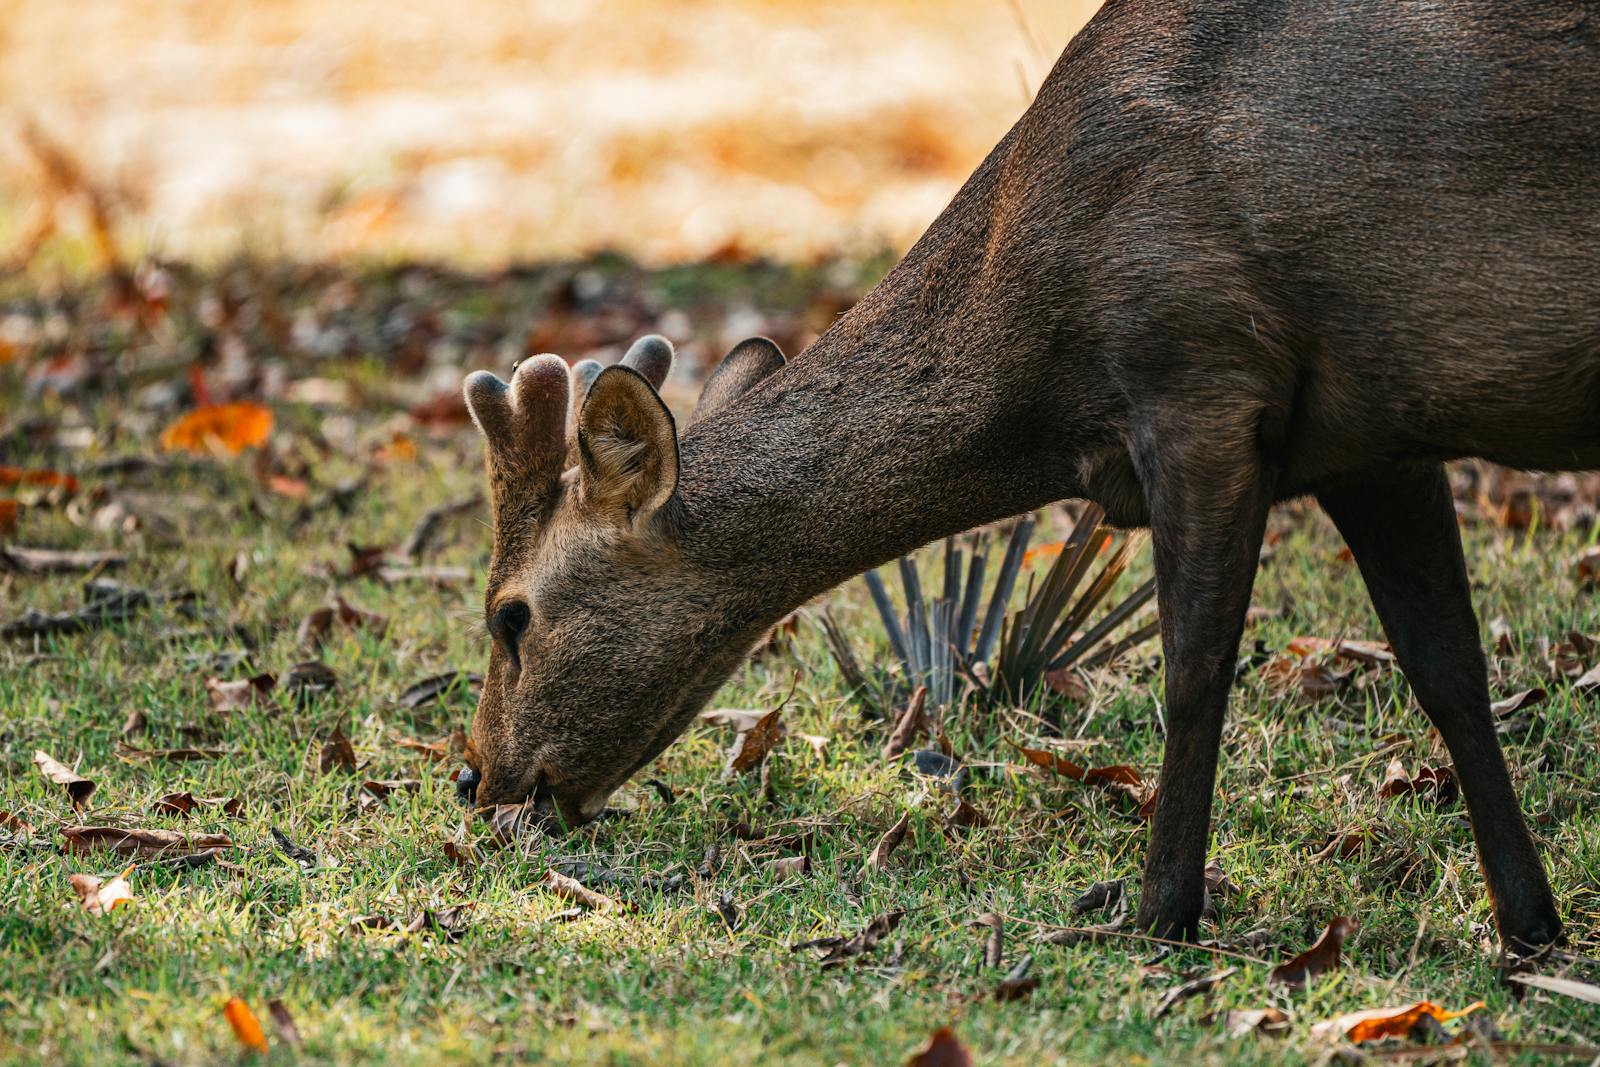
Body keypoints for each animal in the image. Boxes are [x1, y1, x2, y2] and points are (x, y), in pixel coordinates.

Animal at [455, 0, 1598, 957]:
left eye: (510, 613)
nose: (473, 771)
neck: (1040, 381)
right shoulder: (1376, 434)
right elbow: (1447, 666)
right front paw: (1530, 924)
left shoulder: (1199, 378)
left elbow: (1194, 667)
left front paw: (1158, 913)